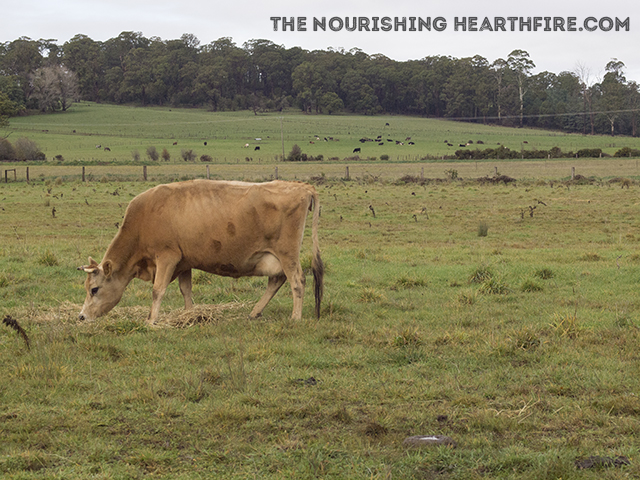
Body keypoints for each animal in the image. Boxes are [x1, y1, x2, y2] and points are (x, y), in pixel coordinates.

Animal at [78, 180, 324, 325]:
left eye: (94, 289)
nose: (81, 316)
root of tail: (301, 186)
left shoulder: (167, 257)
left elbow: (158, 290)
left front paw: (151, 321)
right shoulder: (184, 262)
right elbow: (186, 290)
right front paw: (189, 315)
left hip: (287, 254)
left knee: (297, 281)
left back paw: (295, 317)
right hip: (274, 257)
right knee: (276, 280)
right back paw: (255, 312)